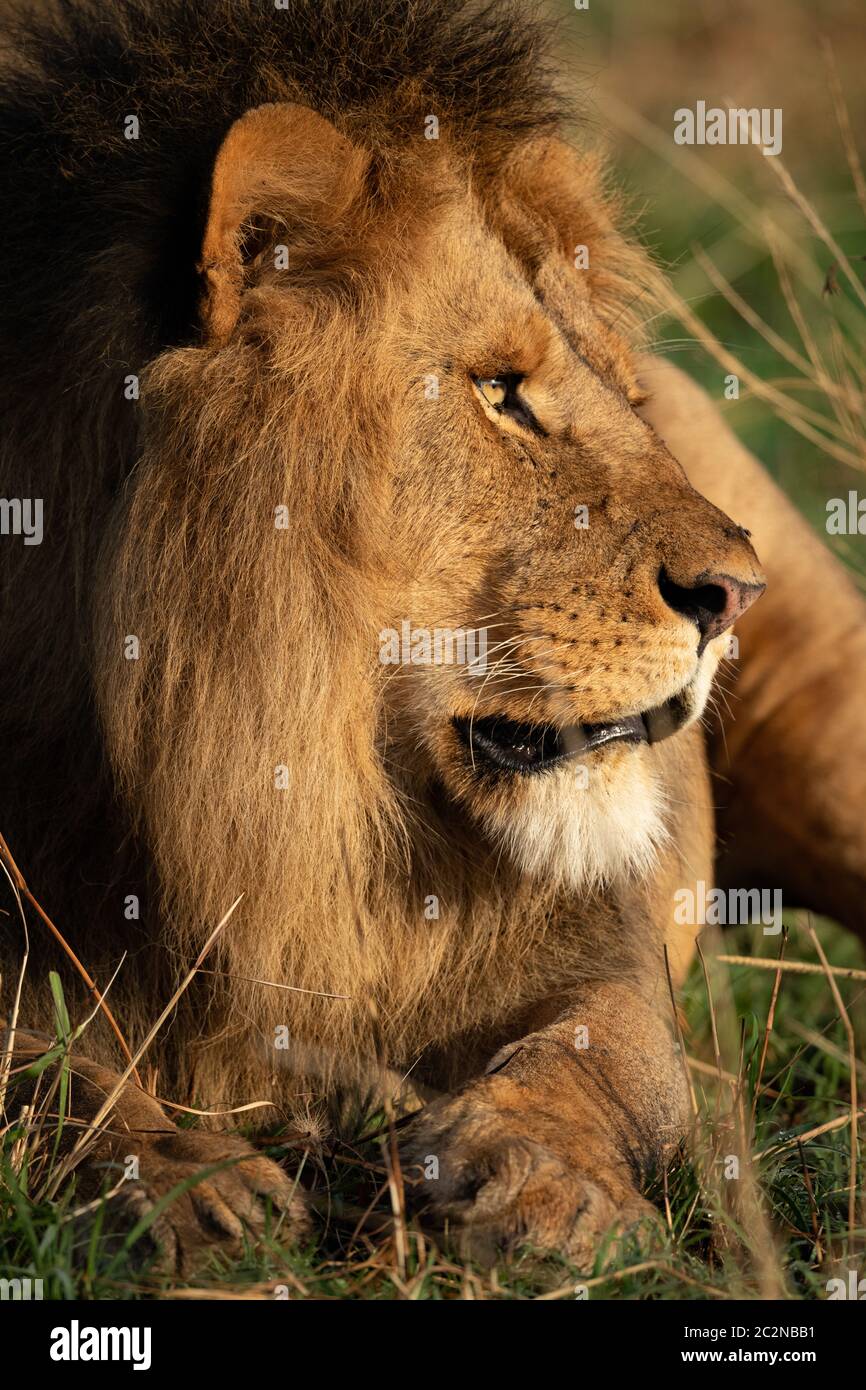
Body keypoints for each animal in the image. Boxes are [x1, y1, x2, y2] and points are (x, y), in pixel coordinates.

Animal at [1, 0, 865, 1274]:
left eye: (624, 394)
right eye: (498, 390)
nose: (731, 594)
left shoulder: (592, 922)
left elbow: (607, 1049)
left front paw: (536, 1177)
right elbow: (35, 1069)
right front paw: (174, 1185)